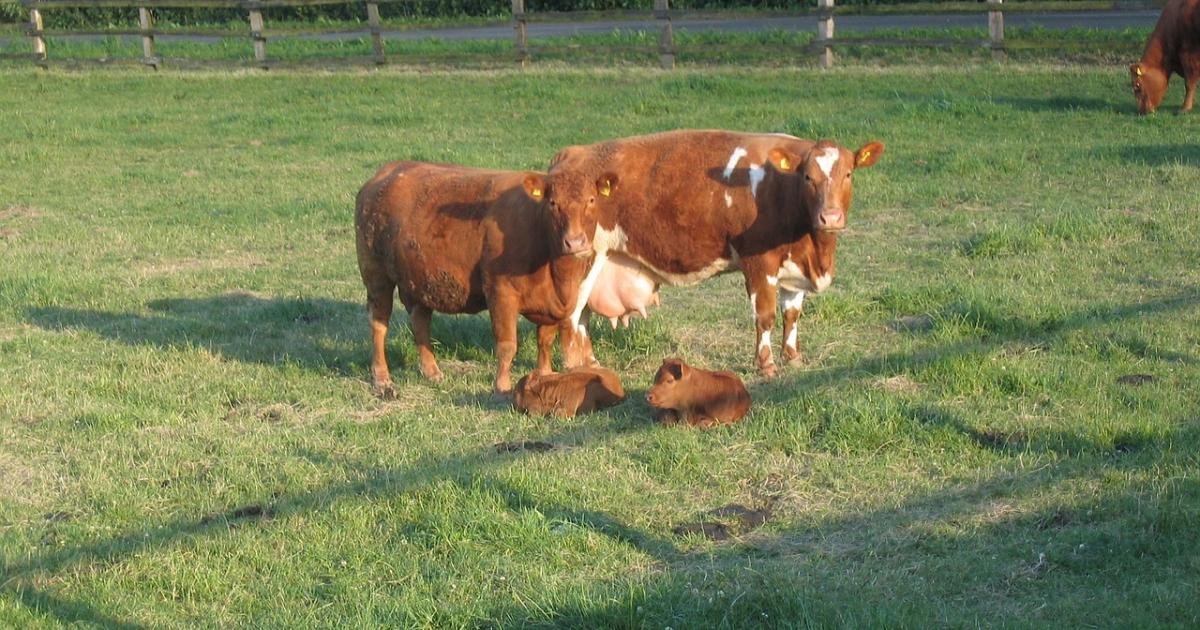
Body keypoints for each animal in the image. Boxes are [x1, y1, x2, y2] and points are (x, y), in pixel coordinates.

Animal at [354, 161, 616, 397]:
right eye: (553, 203)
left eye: (591, 200)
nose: (575, 242)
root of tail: (388, 172)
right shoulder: (500, 292)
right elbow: (507, 345)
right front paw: (502, 387)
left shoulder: (551, 304)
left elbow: (545, 341)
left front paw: (545, 376)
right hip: (376, 274)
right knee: (378, 324)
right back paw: (382, 380)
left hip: (417, 280)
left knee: (420, 320)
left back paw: (432, 372)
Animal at [546, 130, 883, 376]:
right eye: (808, 177)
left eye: (849, 174)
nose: (830, 217)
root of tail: (571, 154)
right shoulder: (759, 263)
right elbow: (765, 316)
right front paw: (766, 365)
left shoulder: (794, 266)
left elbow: (792, 314)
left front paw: (793, 357)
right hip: (581, 258)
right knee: (570, 318)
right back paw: (576, 371)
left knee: (582, 317)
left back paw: (592, 364)